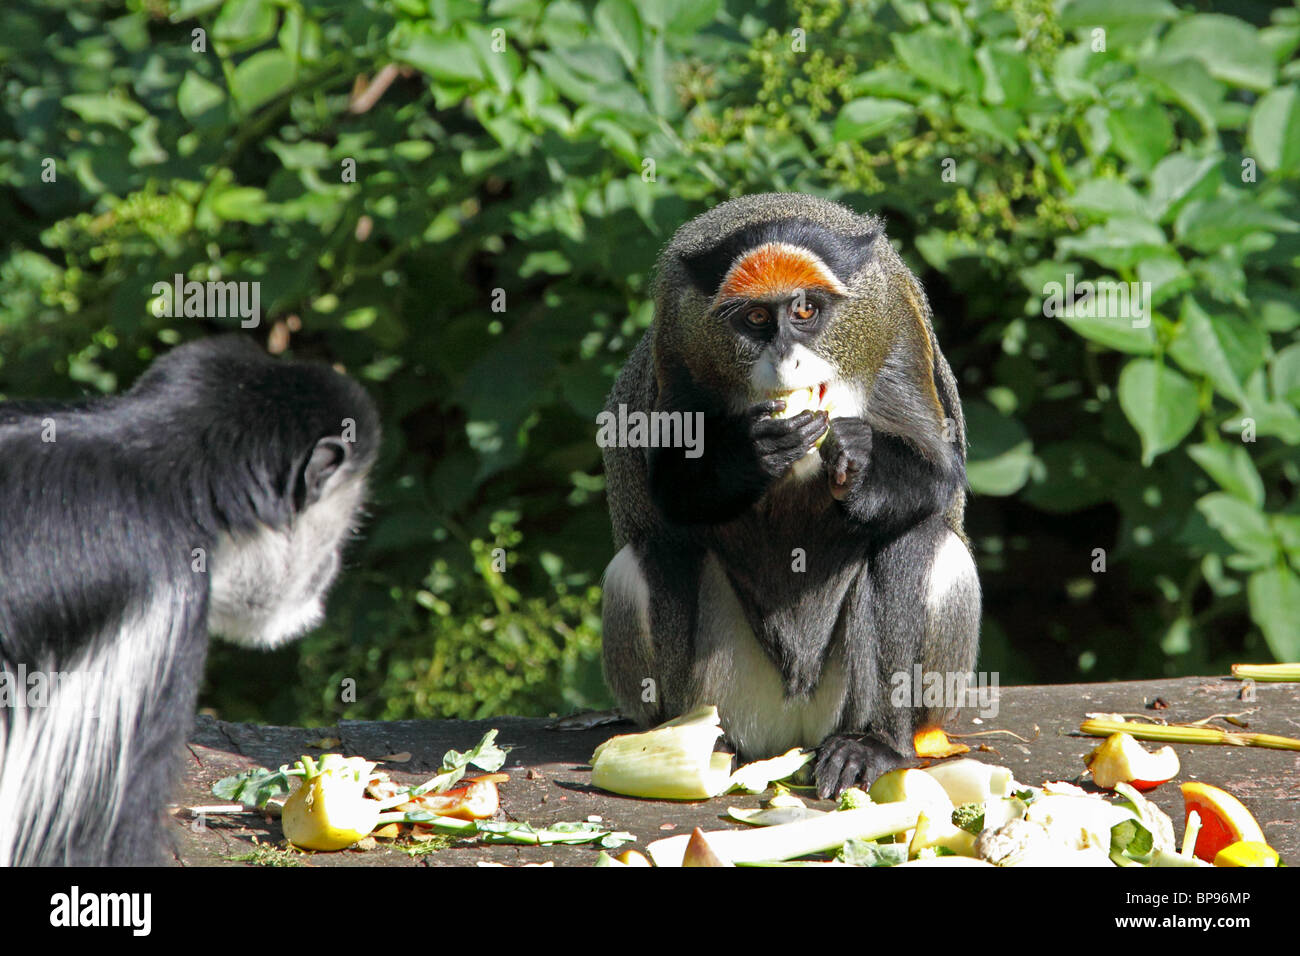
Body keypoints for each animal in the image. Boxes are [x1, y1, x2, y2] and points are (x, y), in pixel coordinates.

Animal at [600, 193, 980, 798]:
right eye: (756, 319)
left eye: (804, 311)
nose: (785, 361)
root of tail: (792, 727)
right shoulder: (675, 341)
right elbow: (670, 494)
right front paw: (754, 454)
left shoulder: (896, 327)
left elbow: (937, 468)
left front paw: (861, 462)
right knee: (658, 551)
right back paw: (684, 742)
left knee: (917, 534)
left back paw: (877, 743)